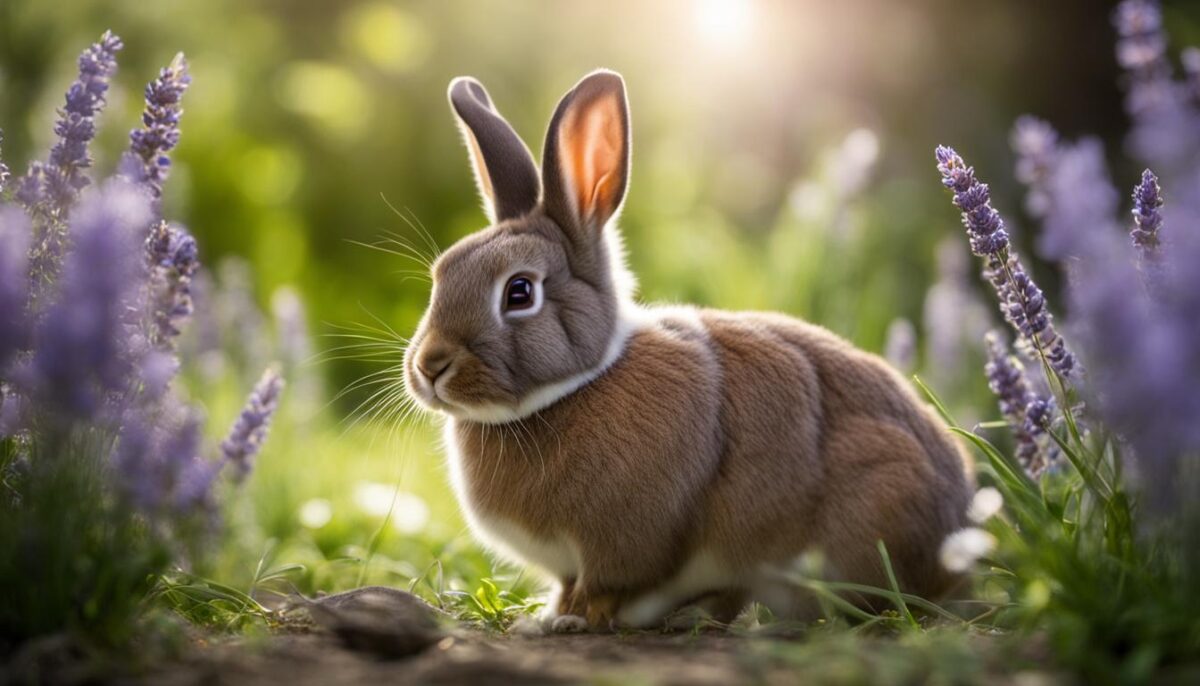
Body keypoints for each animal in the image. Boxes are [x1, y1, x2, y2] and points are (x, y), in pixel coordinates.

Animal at [403, 69, 974, 632]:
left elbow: (604, 587)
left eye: (519, 292)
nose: (430, 366)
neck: (573, 388)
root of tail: (958, 536)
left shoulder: (622, 543)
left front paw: (571, 622)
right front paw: (549, 616)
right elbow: (569, 585)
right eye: (441, 273)